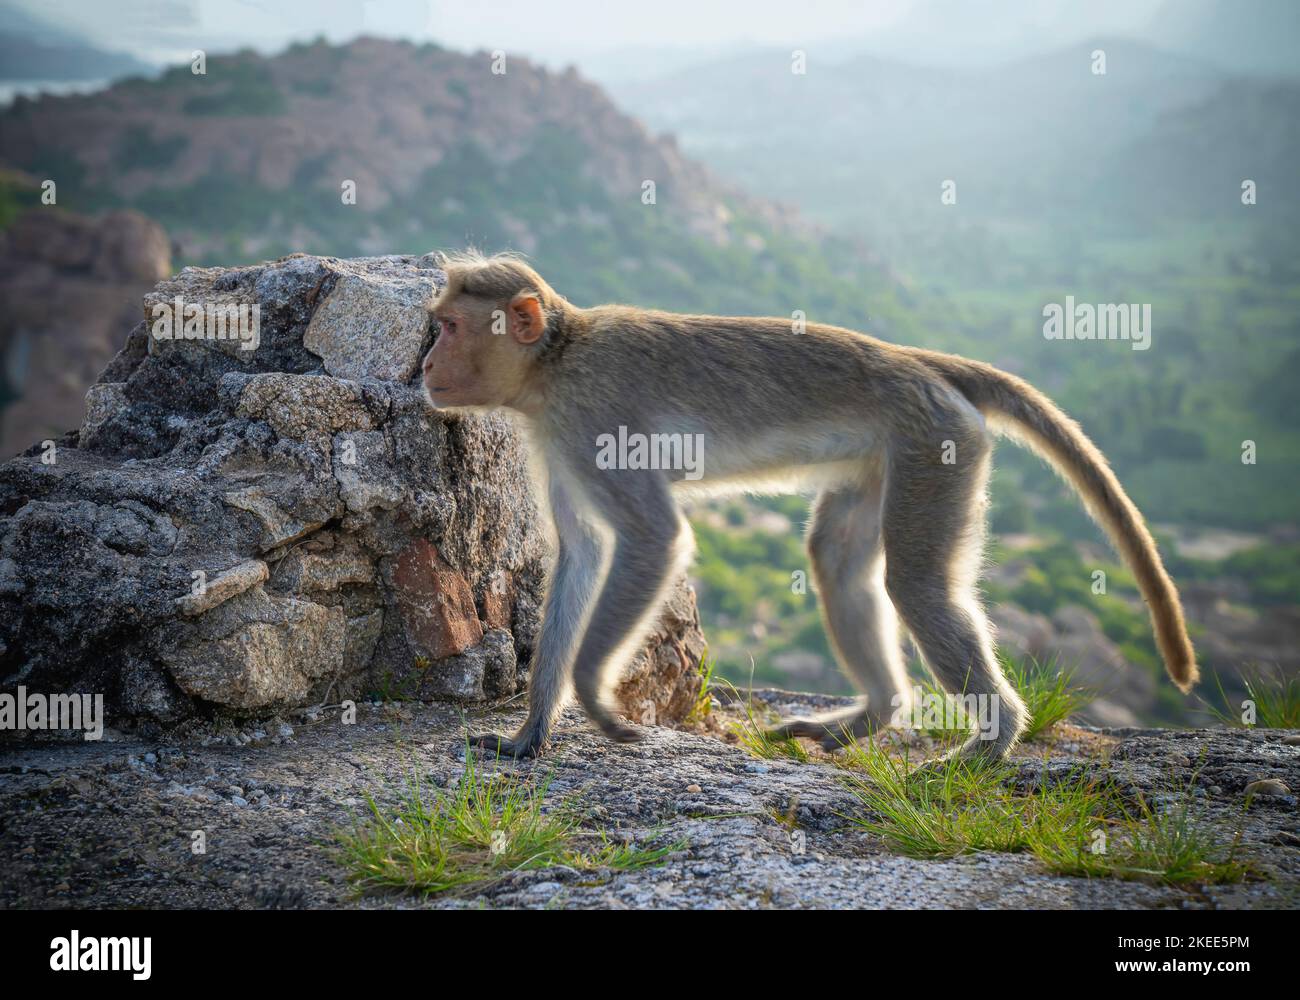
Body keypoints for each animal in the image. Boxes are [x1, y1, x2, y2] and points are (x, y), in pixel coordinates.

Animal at [420, 250, 1197, 762]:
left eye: (450, 328)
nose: (424, 365)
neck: (555, 363)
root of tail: (922, 363)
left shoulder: (592, 421)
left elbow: (653, 538)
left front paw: (594, 697)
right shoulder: (557, 442)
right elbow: (582, 555)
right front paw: (532, 732)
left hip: (937, 445)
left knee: (916, 583)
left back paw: (989, 743)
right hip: (889, 457)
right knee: (838, 559)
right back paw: (871, 717)